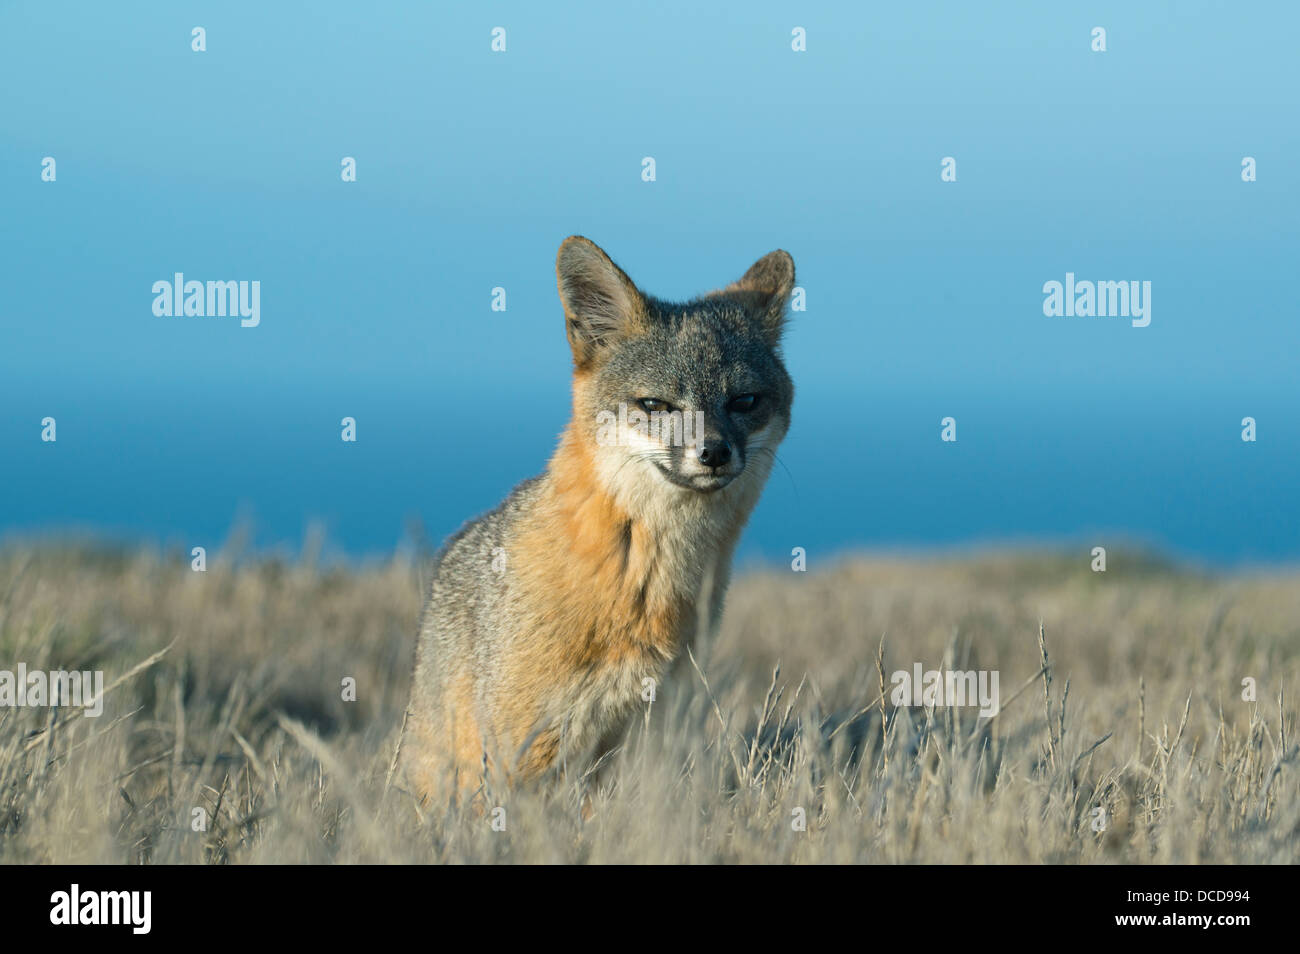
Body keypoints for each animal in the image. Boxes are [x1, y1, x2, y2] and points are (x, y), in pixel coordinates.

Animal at [399, 235, 795, 807]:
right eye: (655, 404)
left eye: (743, 401)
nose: (715, 453)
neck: (640, 579)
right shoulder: (524, 745)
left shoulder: (648, 727)